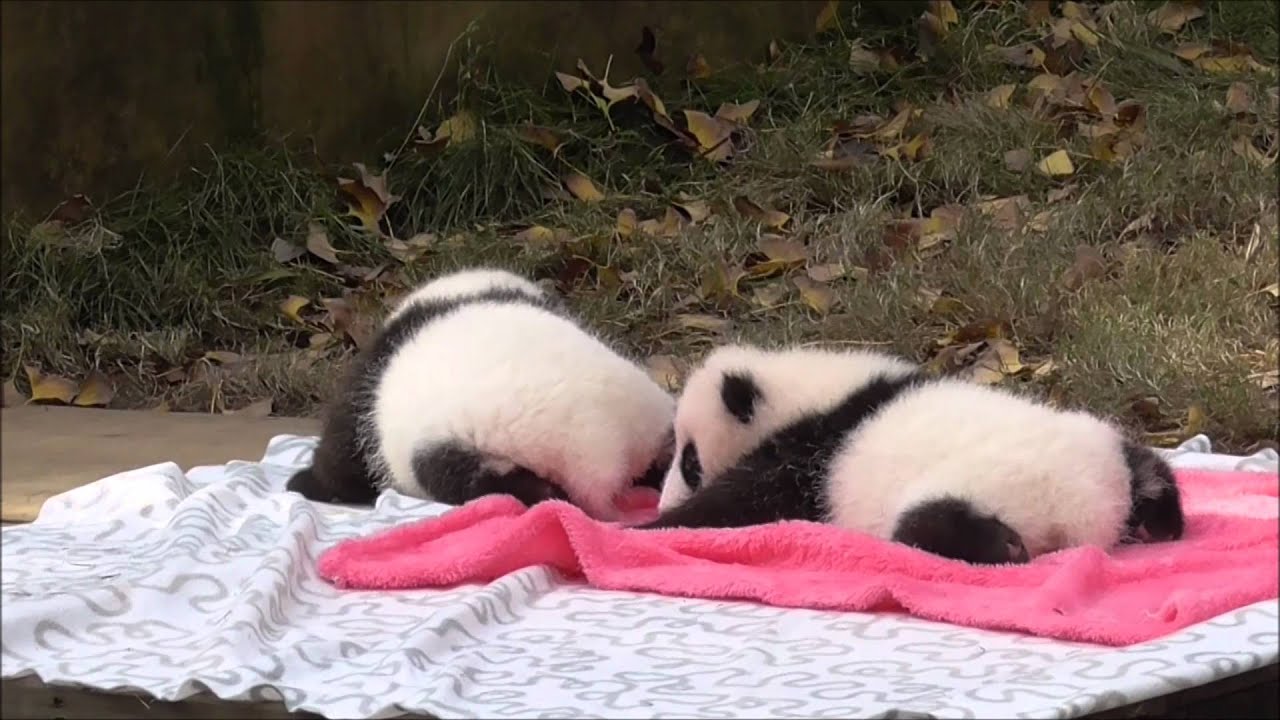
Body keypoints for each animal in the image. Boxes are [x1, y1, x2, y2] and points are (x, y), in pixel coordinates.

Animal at [286, 267, 676, 521]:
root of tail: (603, 454)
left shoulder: (365, 389)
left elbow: (342, 454)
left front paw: (308, 483)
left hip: (465, 452)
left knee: (496, 485)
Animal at [640, 343, 1185, 565]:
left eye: (690, 462)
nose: (664, 500)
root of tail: (1092, 515)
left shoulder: (809, 452)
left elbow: (743, 503)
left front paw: (651, 526)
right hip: (1094, 437)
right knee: (1149, 466)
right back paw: (1162, 519)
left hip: (981, 486)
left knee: (924, 525)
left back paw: (998, 545)